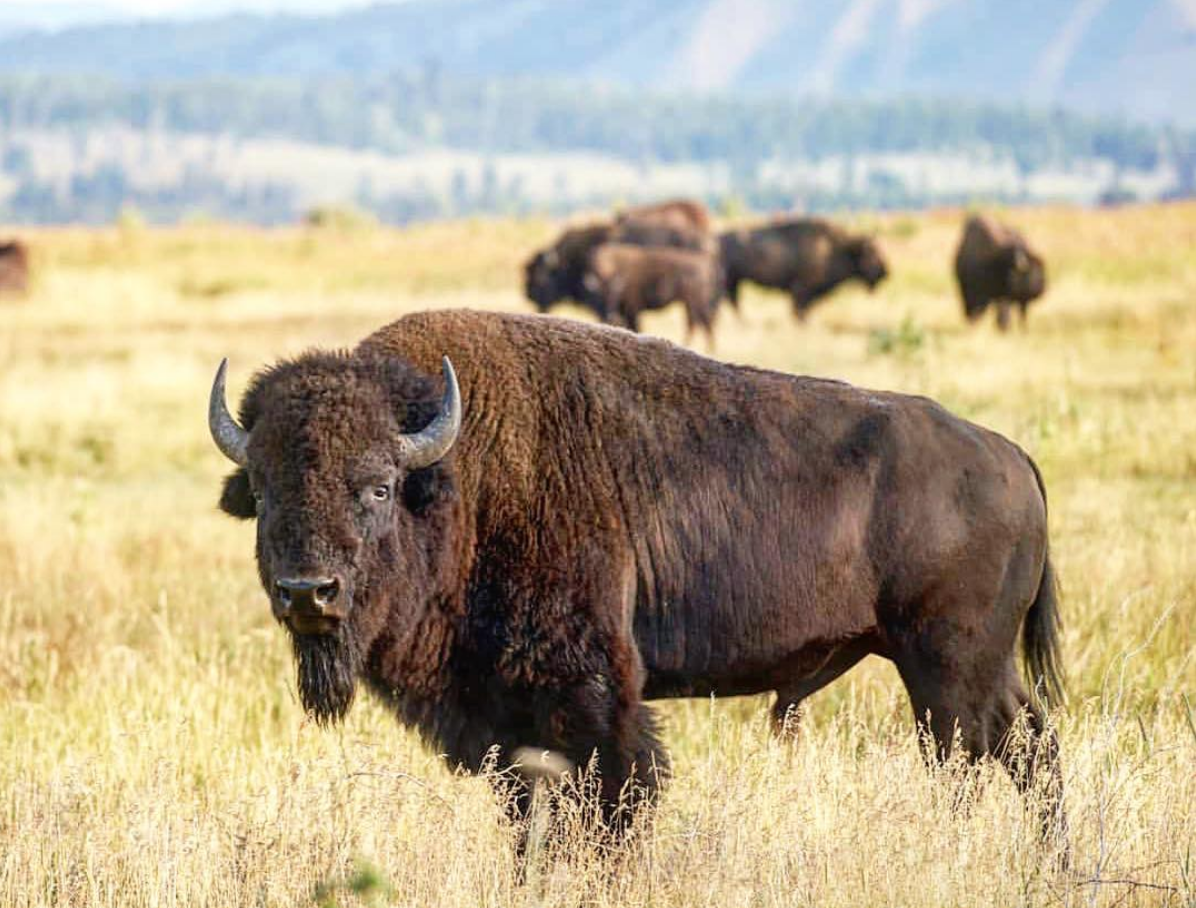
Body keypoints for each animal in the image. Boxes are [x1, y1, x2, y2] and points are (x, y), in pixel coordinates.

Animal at [209, 310, 1065, 840]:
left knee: (984, 758)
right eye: (263, 490)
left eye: (379, 486)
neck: (457, 478)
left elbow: (614, 802)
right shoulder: (509, 725)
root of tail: (1010, 456)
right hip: (971, 670)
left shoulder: (592, 702)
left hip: (946, 672)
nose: (308, 593)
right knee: (1033, 747)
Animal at [719, 218, 888, 318]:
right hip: (732, 281)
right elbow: (799, 314)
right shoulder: (802, 290)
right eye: (871, 254)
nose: (885, 272)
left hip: (735, 281)